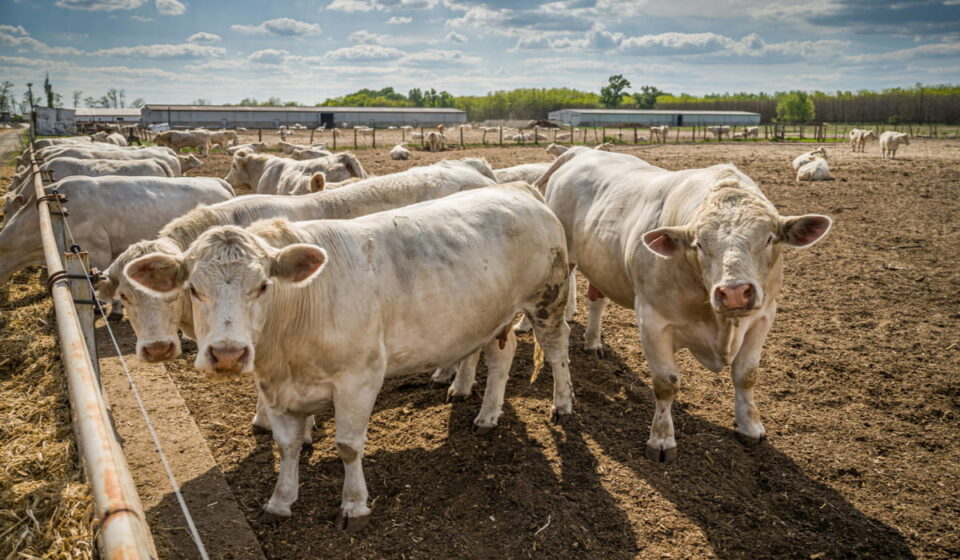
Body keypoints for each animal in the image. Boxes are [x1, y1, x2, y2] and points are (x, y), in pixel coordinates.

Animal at [121, 182, 574, 527]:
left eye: (263, 285)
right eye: (194, 288)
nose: (228, 353)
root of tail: (515, 186)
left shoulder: (359, 378)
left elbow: (348, 446)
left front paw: (354, 504)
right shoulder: (276, 388)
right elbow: (286, 447)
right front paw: (280, 500)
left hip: (548, 300)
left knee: (556, 352)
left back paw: (562, 405)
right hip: (493, 317)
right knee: (501, 356)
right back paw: (486, 414)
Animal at [534, 148, 831, 462]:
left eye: (769, 238)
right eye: (699, 244)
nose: (735, 292)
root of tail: (583, 151)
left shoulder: (763, 316)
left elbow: (747, 375)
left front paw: (750, 426)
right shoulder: (652, 321)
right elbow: (666, 383)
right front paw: (662, 439)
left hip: (601, 266)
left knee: (597, 299)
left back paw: (593, 342)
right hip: (565, 260)